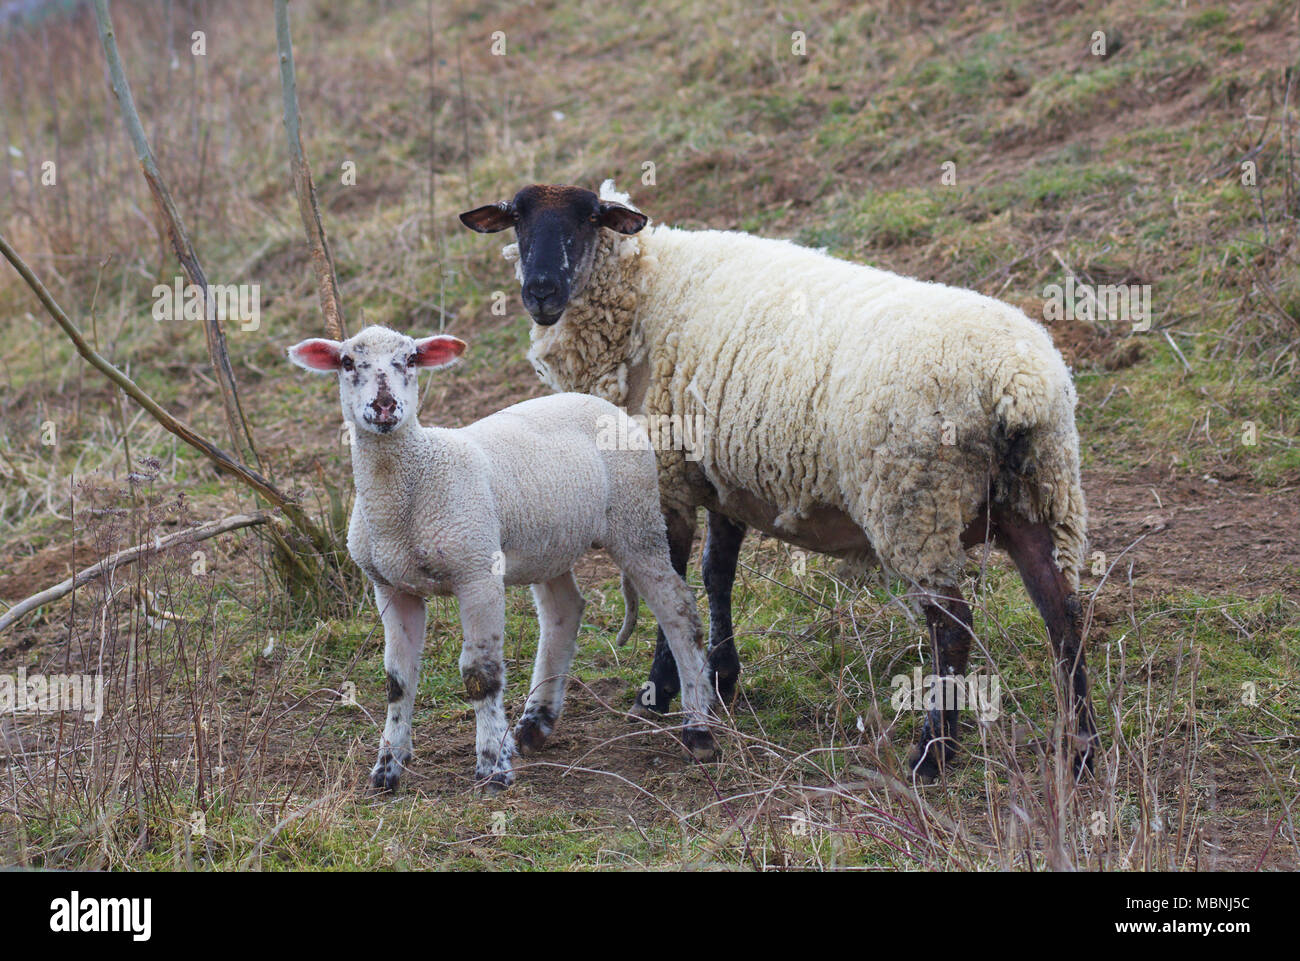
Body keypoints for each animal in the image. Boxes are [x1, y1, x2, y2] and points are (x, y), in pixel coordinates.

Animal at [286, 324, 716, 793]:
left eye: (412, 358)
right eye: (347, 362)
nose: (384, 406)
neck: (411, 485)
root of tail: (601, 403)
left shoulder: (477, 573)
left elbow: (480, 675)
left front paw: (492, 766)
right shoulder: (391, 587)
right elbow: (396, 681)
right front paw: (387, 768)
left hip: (636, 519)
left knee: (679, 610)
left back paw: (699, 730)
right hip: (549, 541)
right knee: (565, 611)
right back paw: (534, 724)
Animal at [459, 182, 1099, 779]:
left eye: (589, 218)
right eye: (517, 221)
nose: (541, 292)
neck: (646, 293)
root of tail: (1019, 382)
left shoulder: (666, 475)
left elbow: (672, 583)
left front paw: (661, 691)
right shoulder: (722, 477)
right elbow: (716, 575)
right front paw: (721, 677)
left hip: (915, 505)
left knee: (955, 629)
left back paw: (932, 755)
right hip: (1038, 498)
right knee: (1063, 614)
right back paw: (1081, 750)